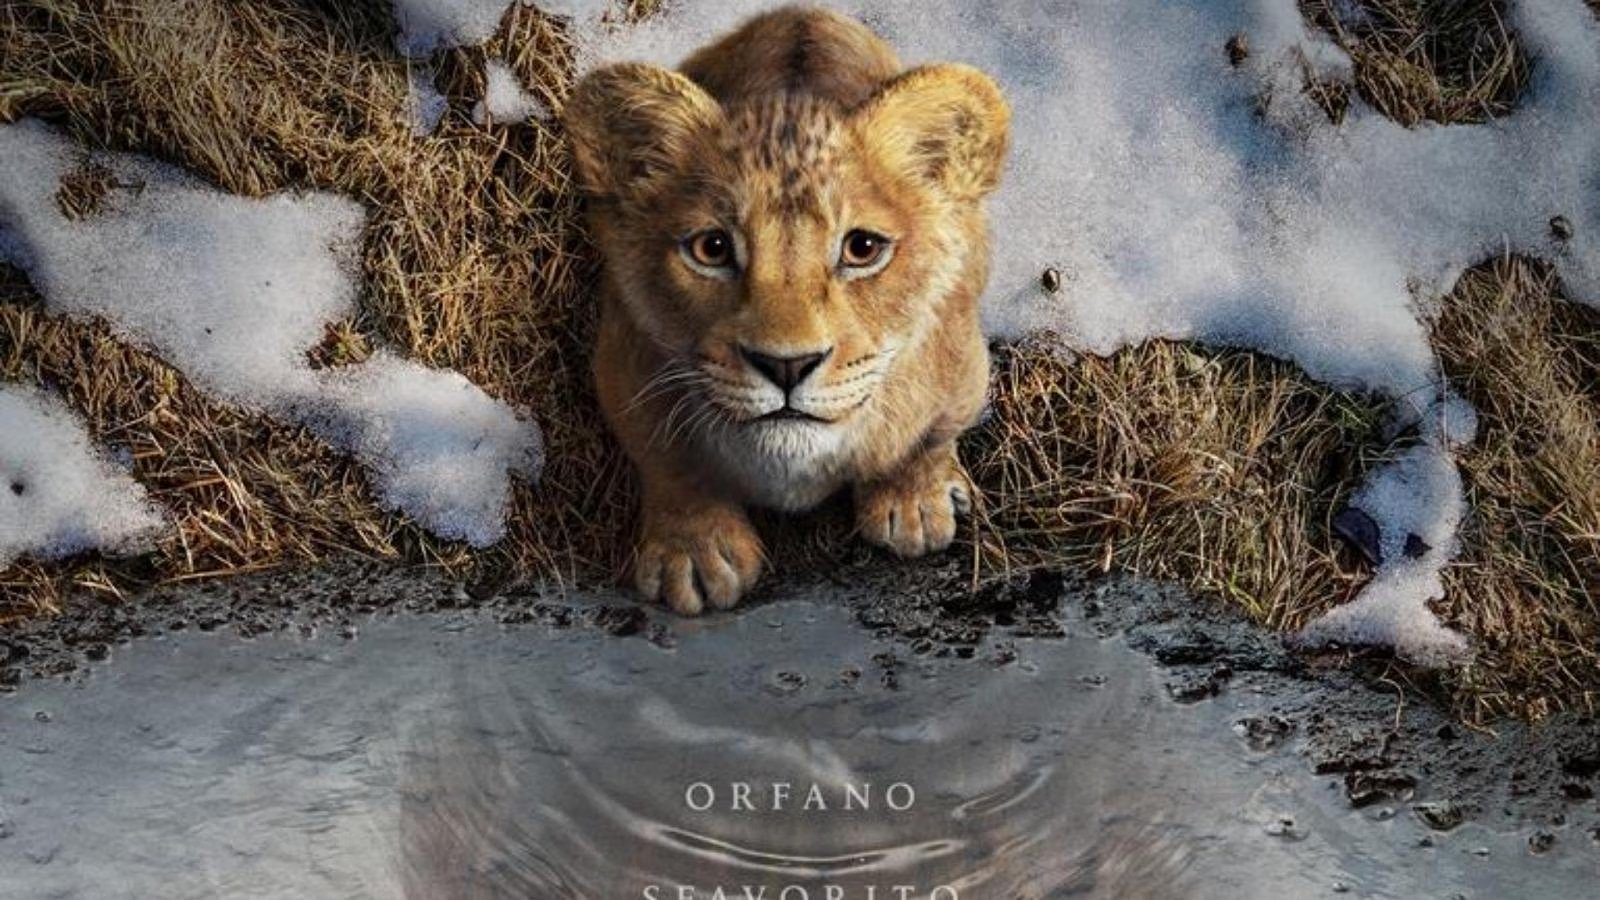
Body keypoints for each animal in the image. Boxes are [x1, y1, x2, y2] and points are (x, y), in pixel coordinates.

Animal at [564, 6, 1010, 614]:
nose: (787, 366)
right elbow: (670, 462)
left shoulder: (962, 365)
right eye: (712, 248)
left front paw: (914, 504)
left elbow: (927, 437)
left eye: (862, 248)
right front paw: (695, 554)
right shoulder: (624, 365)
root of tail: (802, 11)